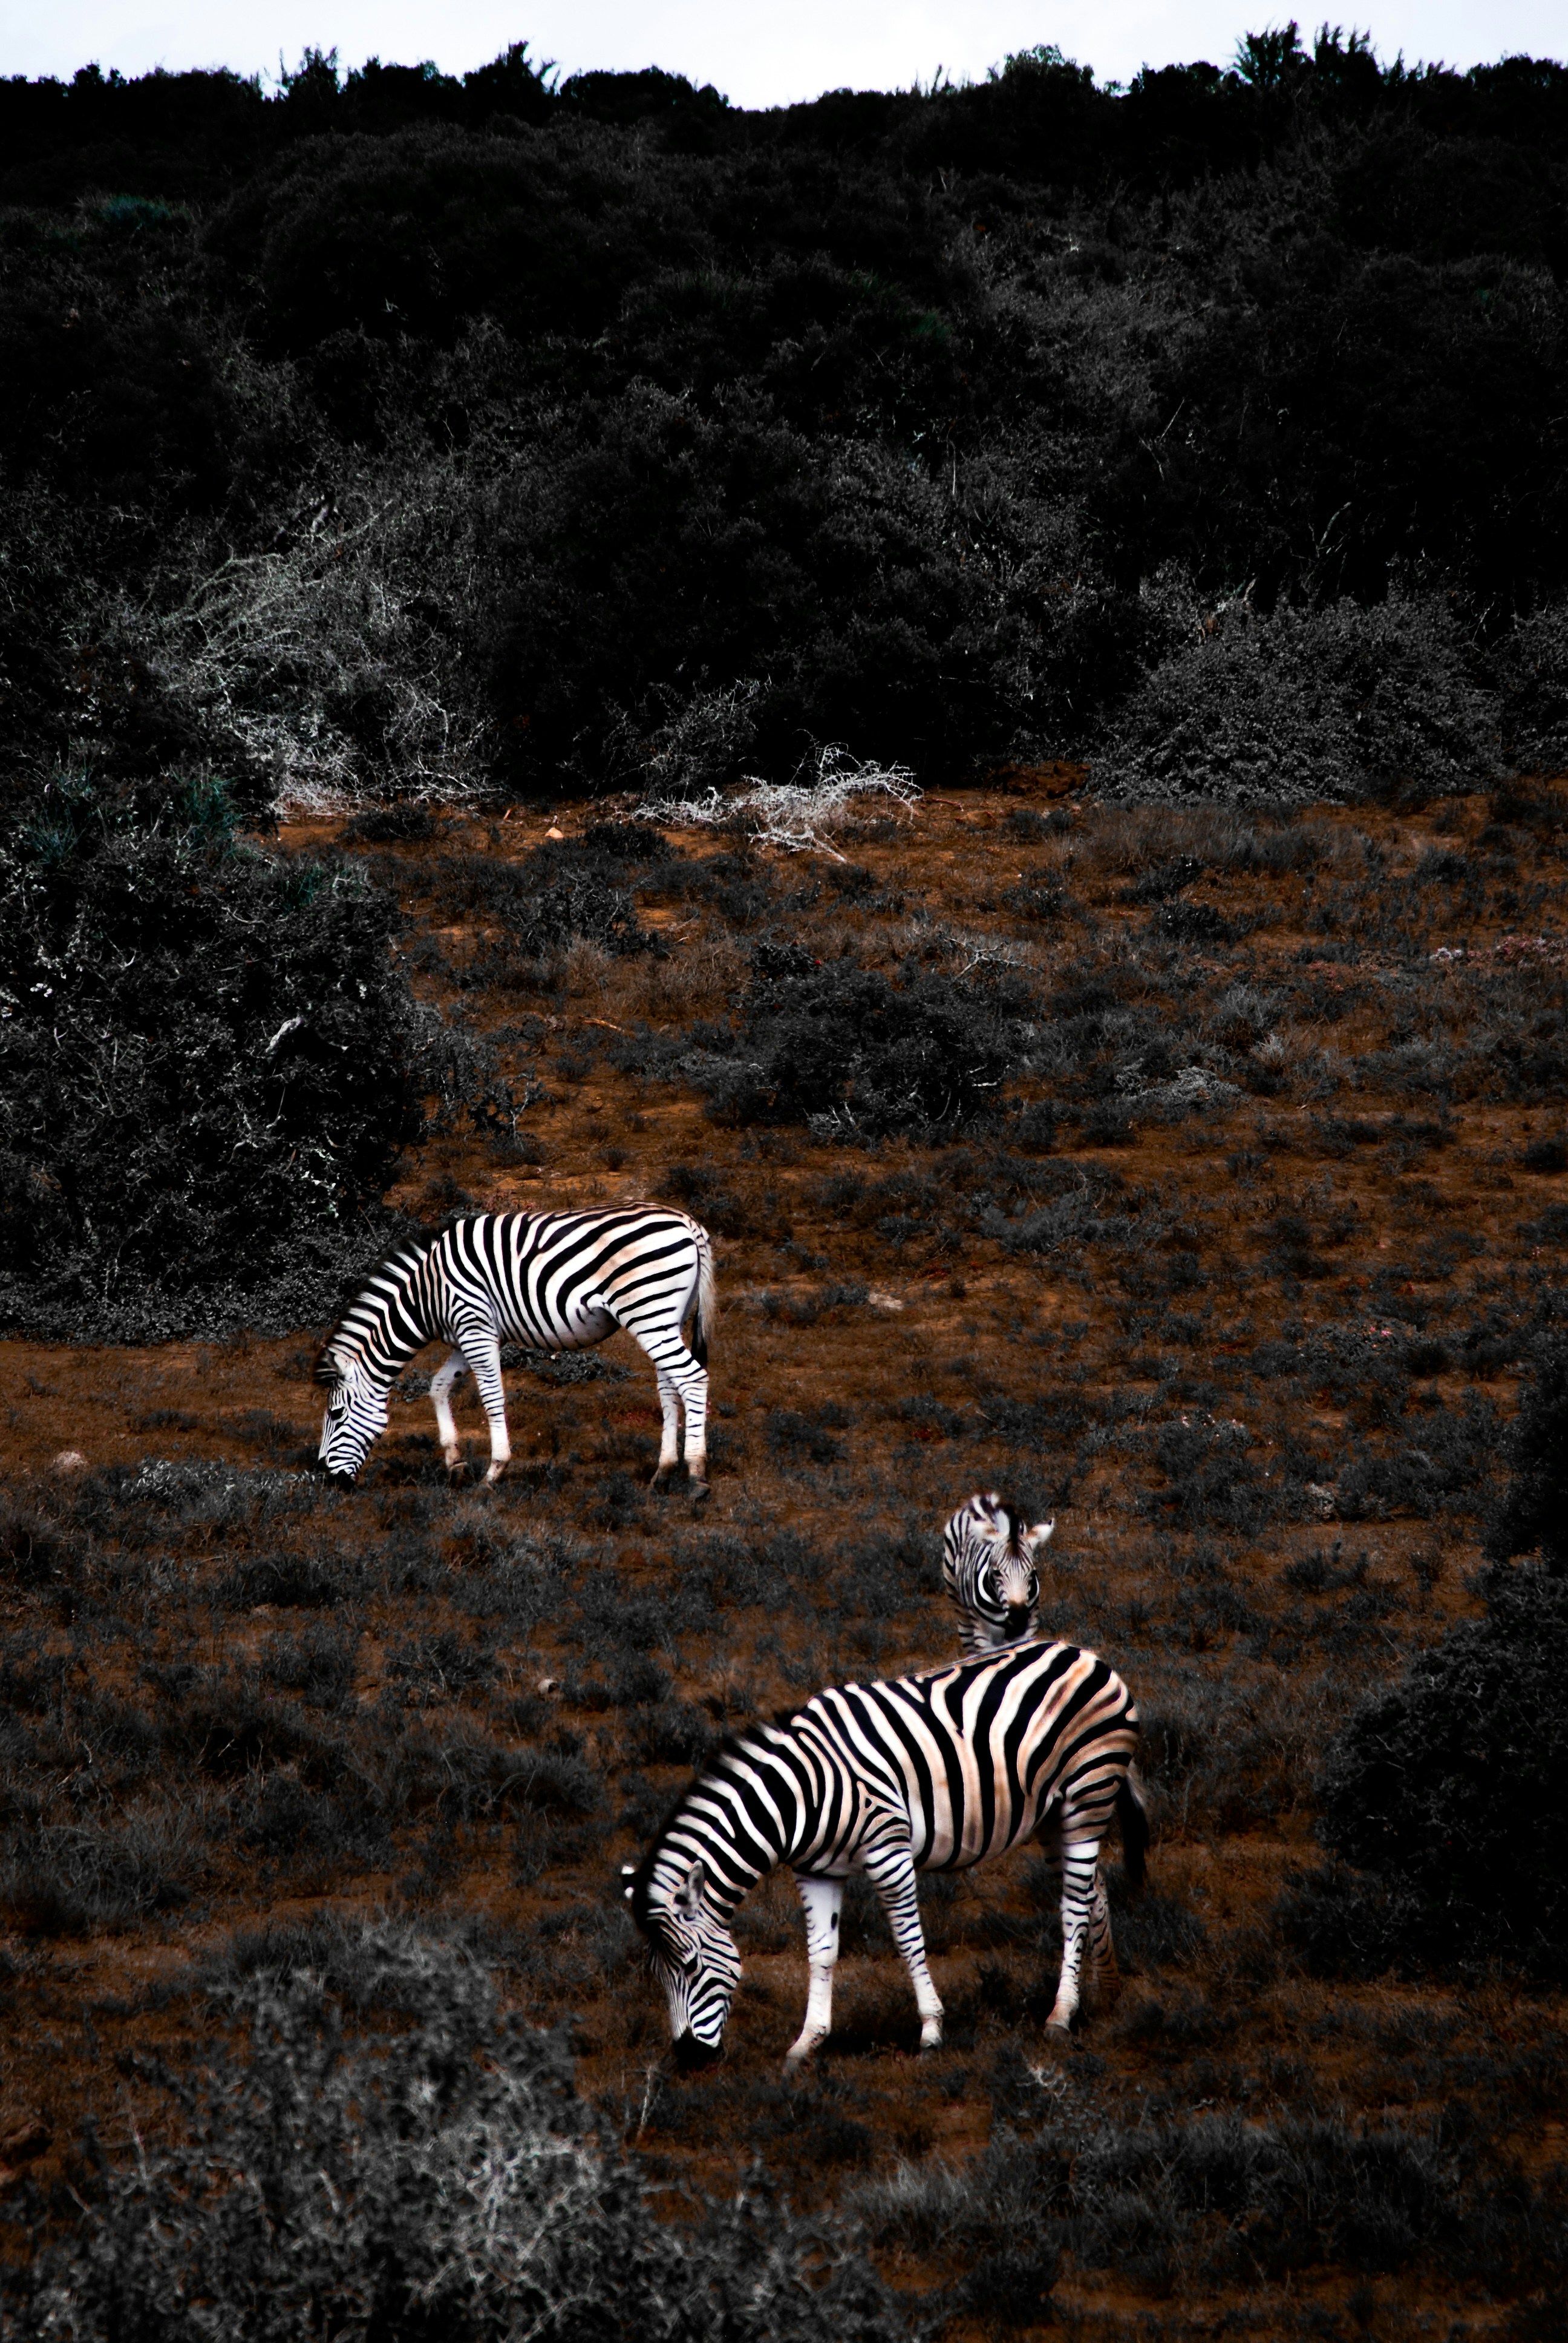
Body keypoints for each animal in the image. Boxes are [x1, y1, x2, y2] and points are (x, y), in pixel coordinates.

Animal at [315, 1207, 715, 1492]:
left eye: (336, 1415)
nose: (328, 1481)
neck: (427, 1295)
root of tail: (688, 1222)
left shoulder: (475, 1326)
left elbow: (492, 1398)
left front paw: (494, 1473)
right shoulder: (473, 1333)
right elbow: (439, 1387)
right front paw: (455, 1465)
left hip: (647, 1310)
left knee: (692, 1378)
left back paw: (696, 1475)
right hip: (665, 1317)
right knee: (670, 1386)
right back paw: (663, 1473)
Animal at [626, 1639, 1147, 2072]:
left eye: (690, 1966)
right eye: (655, 1975)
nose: (688, 2058)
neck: (800, 1794)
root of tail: (1084, 1654)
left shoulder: (887, 1850)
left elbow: (908, 1940)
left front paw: (932, 2029)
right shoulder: (816, 1872)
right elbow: (821, 1952)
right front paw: (807, 2042)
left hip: (1087, 1794)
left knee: (1074, 1905)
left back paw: (1061, 2014)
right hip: (1053, 1815)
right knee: (1093, 1889)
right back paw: (1105, 1995)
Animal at [942, 1491, 1054, 1655]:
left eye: (1032, 1572)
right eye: (996, 1572)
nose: (1018, 1620)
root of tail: (984, 1500)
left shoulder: (1030, 1626)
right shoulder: (983, 1634)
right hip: (961, 1613)